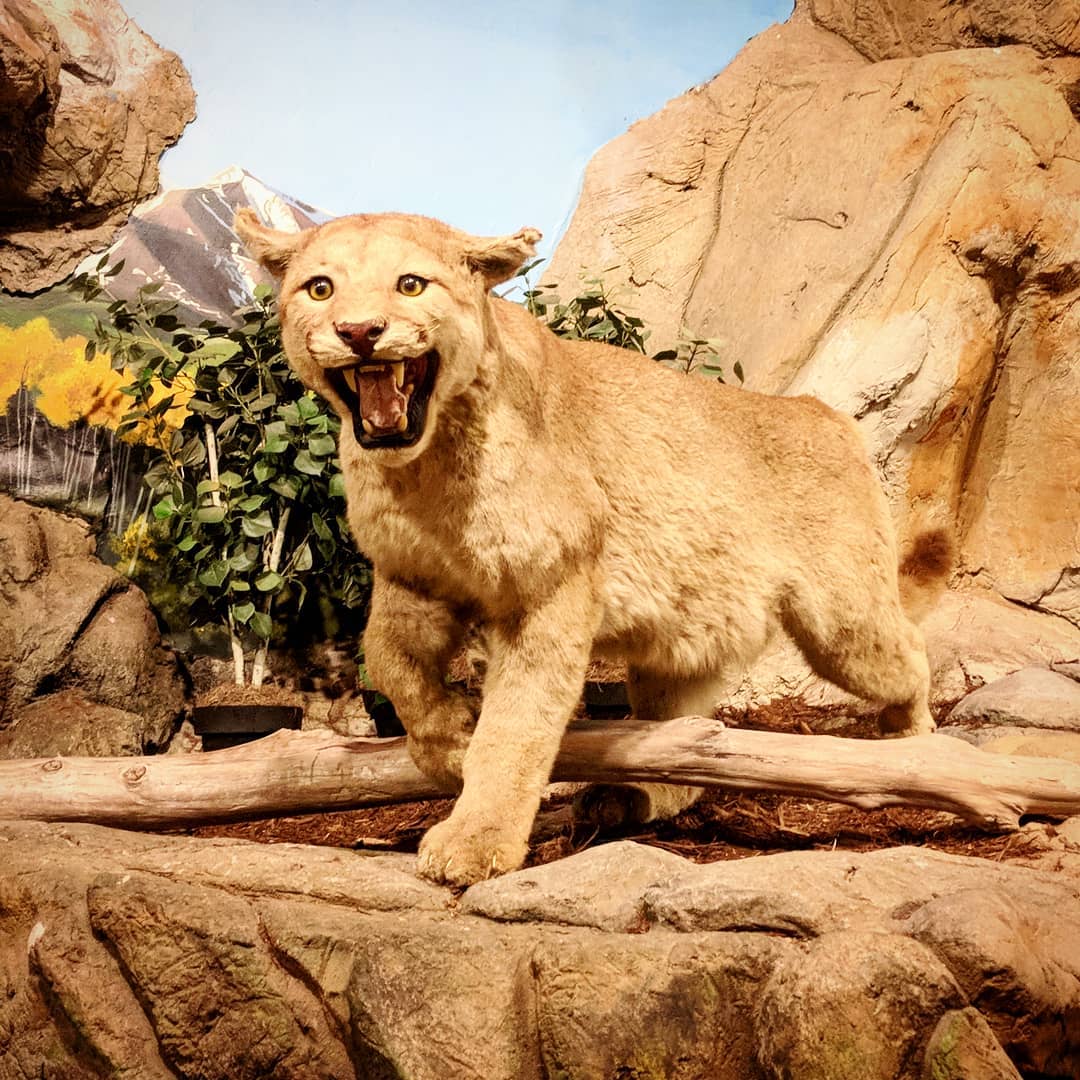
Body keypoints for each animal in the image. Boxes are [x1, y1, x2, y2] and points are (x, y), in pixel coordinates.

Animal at [235, 208, 950, 887]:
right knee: (685, 738)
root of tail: (819, 410)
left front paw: (475, 839)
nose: (359, 332)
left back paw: (912, 745)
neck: (425, 468)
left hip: (842, 621)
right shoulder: (413, 578)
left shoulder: (547, 590)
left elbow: (518, 720)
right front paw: (447, 742)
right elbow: (389, 661)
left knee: (908, 657)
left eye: (410, 284)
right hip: (685, 641)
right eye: (320, 288)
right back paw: (628, 796)